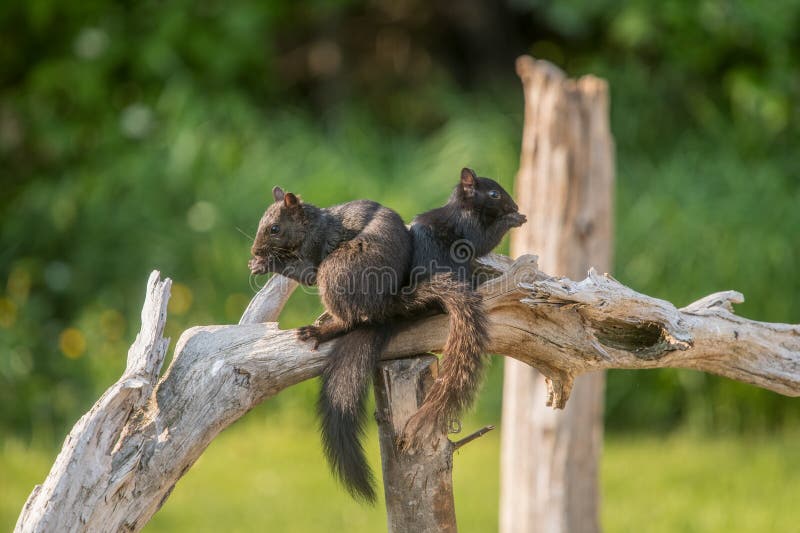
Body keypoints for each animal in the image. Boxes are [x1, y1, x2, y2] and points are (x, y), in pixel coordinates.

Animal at [248, 169, 525, 502]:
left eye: (275, 228)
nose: (255, 251)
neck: (312, 225)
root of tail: (387, 307)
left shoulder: (317, 249)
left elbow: (303, 271)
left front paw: (267, 263)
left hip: (335, 271)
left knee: (351, 319)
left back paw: (323, 328)